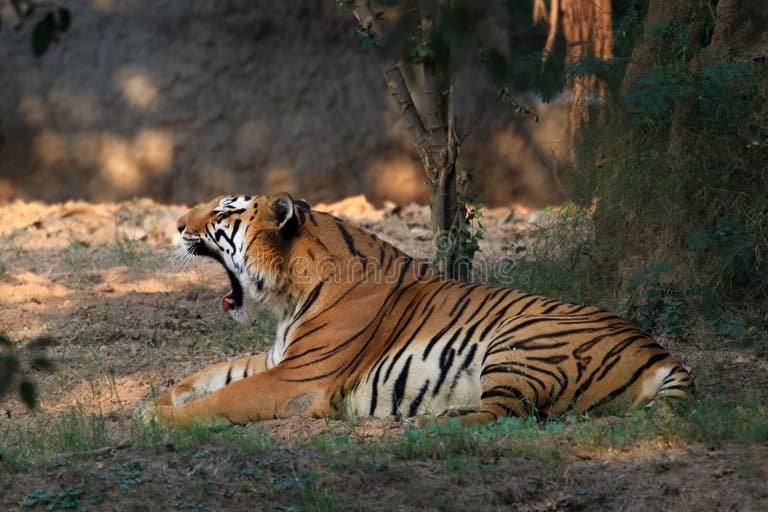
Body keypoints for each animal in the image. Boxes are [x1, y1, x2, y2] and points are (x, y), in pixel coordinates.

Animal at [136, 193, 694, 427]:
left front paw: (157, 421)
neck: (288, 297)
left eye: (222, 211)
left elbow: (223, 398)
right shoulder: (278, 361)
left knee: (504, 414)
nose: (177, 225)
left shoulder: (296, 380)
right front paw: (149, 405)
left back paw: (426, 424)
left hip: (522, 342)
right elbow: (207, 377)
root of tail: (664, 355)